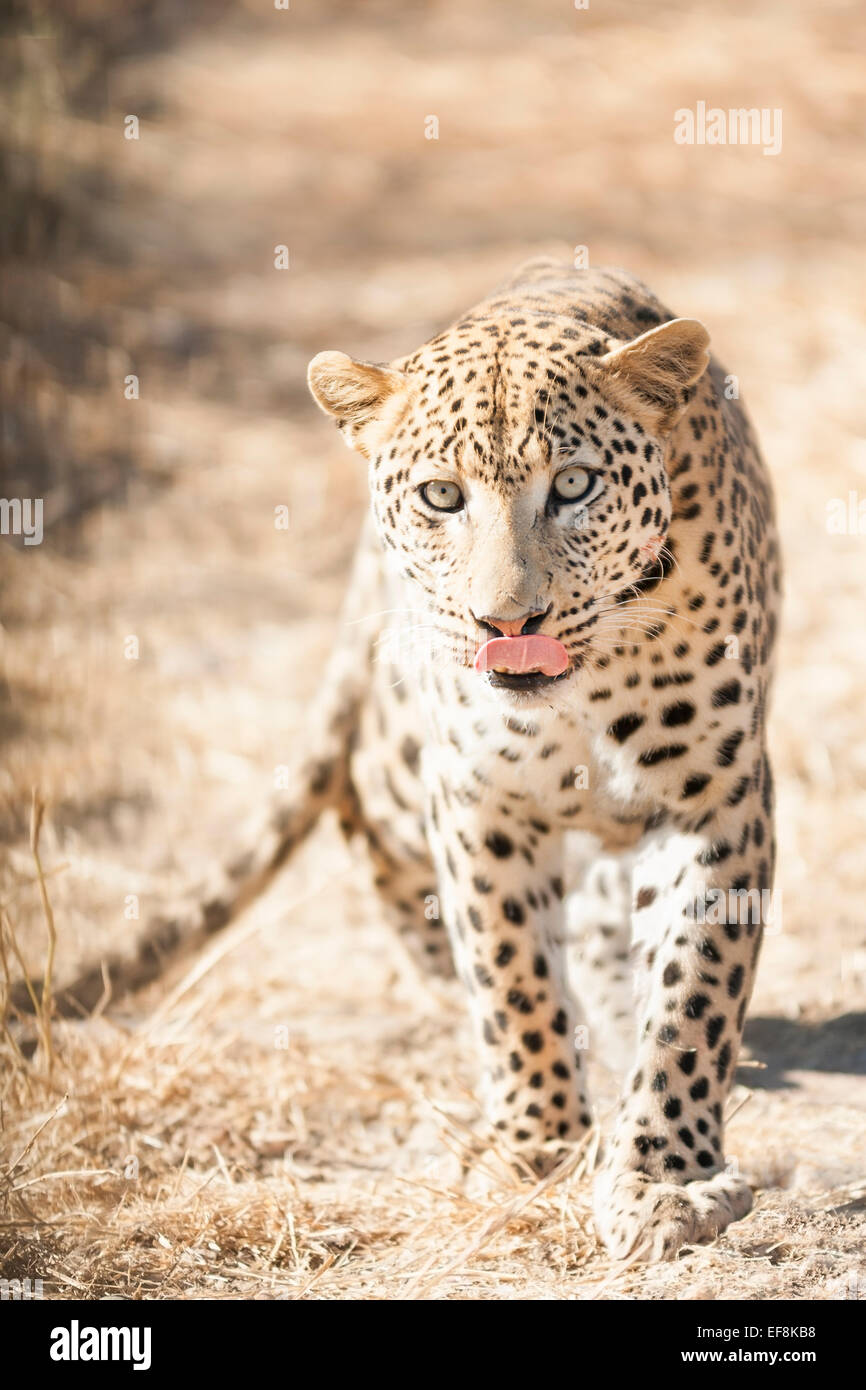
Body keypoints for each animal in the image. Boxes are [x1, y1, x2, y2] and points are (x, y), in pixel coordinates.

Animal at [22, 259, 781, 1262]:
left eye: (575, 485)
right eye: (440, 498)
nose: (509, 622)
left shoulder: (716, 798)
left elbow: (693, 993)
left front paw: (668, 1179)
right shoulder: (476, 798)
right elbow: (511, 975)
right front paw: (535, 1145)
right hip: (393, 766)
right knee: (367, 820)